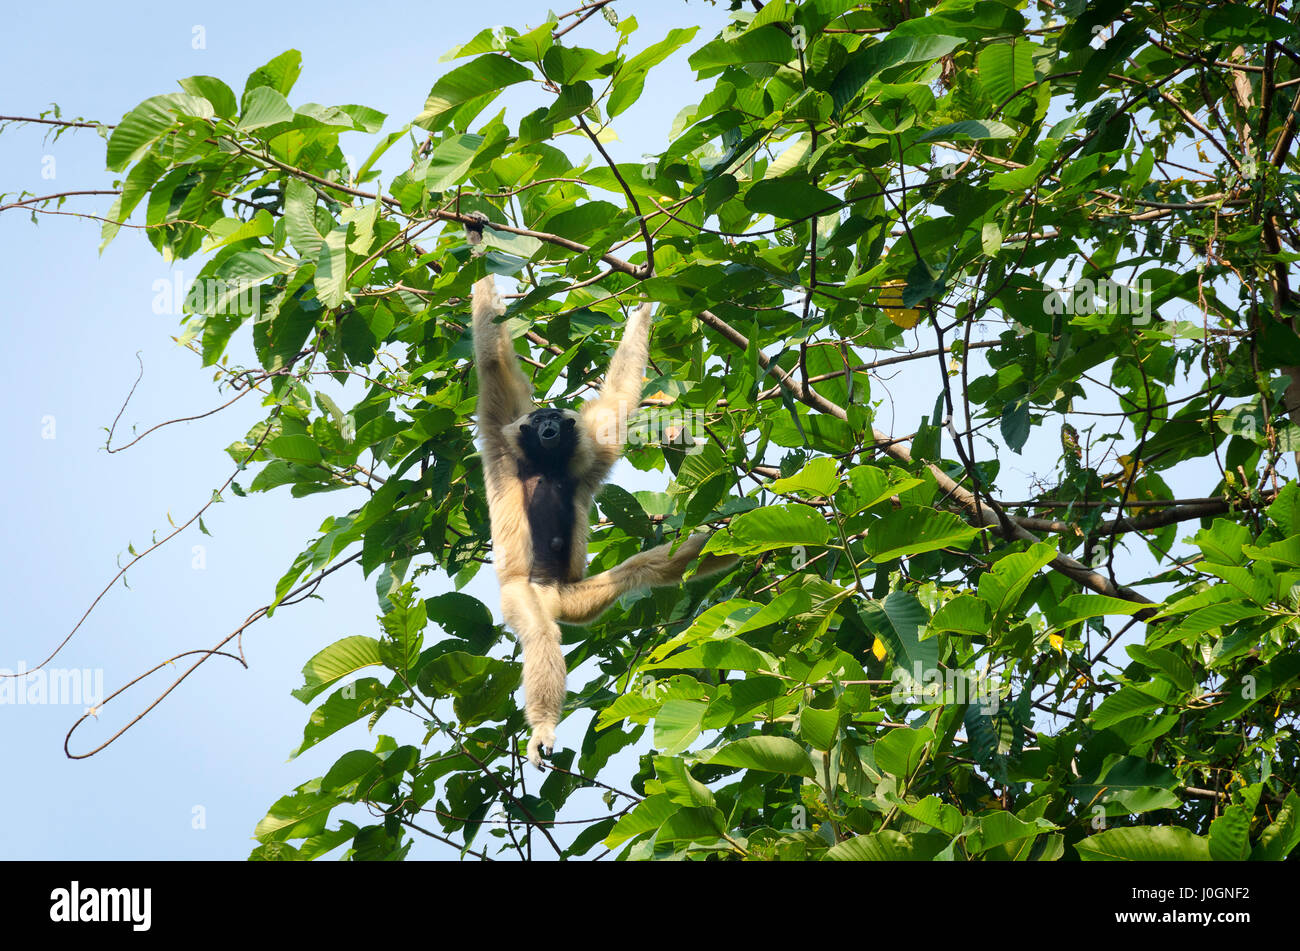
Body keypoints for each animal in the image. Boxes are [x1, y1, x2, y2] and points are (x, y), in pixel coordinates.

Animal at [471, 272, 736, 768]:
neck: (547, 463)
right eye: (541, 420)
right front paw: (479, 256)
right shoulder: (502, 437)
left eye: (555, 420)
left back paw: (722, 543)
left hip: (580, 599)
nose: (549, 427)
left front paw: (646, 305)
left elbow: (616, 401)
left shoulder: (588, 451)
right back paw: (544, 725)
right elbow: (492, 359)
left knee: (639, 571)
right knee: (540, 634)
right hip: (521, 594)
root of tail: (553, 594)